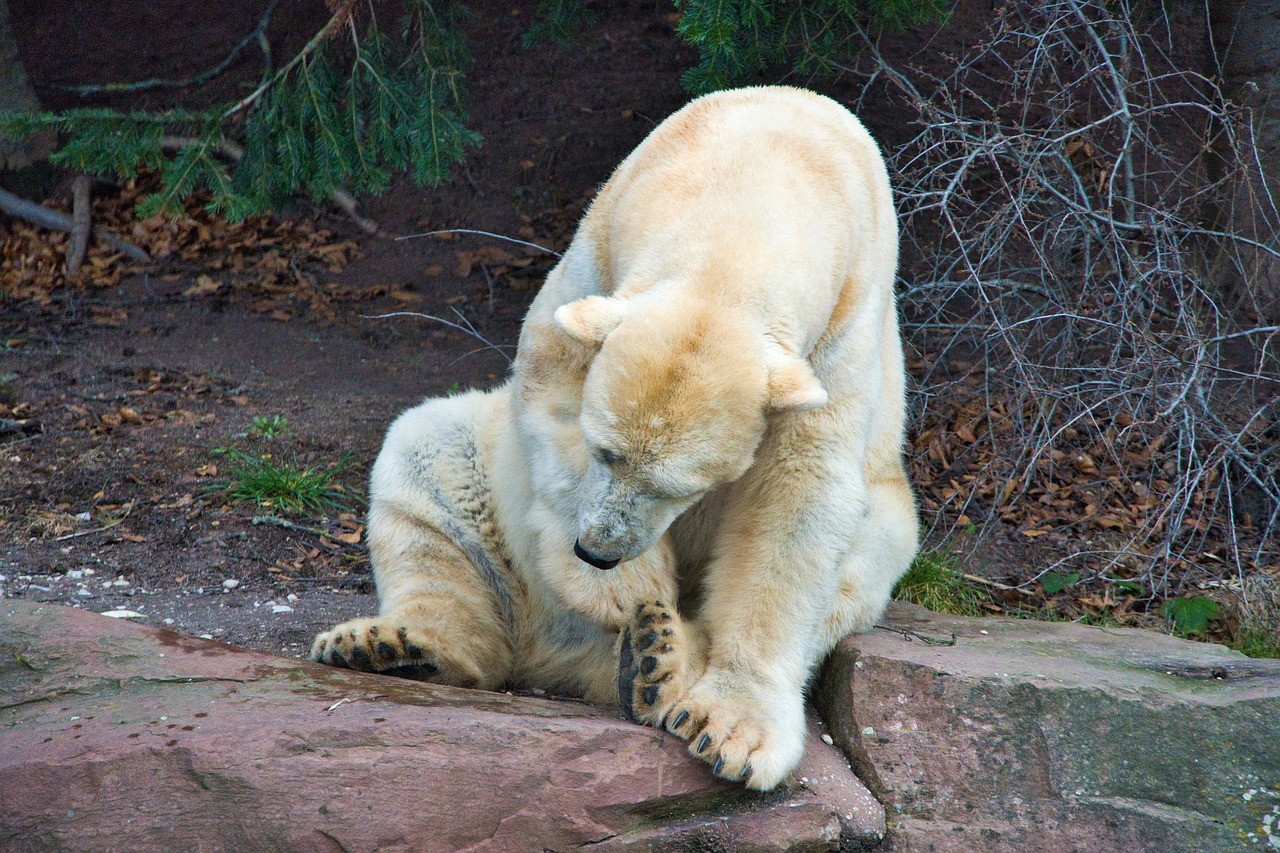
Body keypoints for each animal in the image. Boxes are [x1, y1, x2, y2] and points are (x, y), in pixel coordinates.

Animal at [311, 85, 919, 791]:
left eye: (684, 486)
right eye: (605, 451)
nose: (598, 552)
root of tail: (550, 651)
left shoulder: (841, 329)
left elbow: (798, 493)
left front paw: (734, 730)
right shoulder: (598, 248)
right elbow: (552, 381)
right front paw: (625, 589)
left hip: (889, 513)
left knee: (868, 549)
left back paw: (660, 662)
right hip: (487, 479)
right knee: (427, 464)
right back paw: (402, 644)